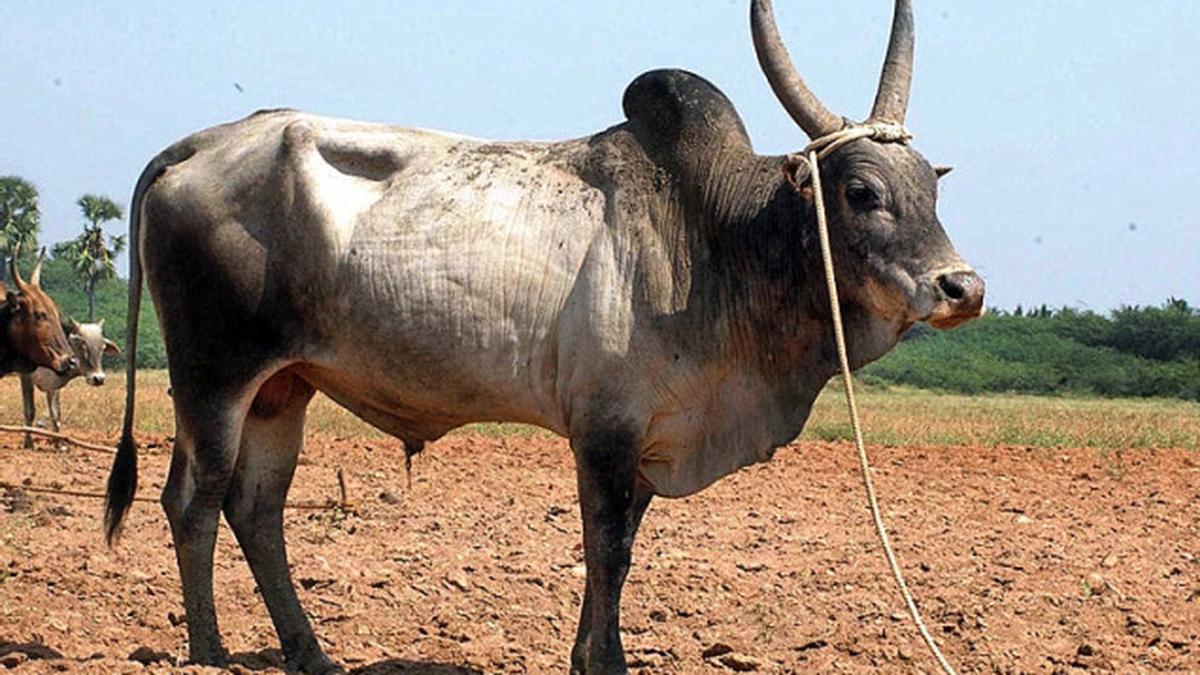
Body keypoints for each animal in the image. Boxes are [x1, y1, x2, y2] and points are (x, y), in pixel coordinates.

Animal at [20, 319, 121, 449]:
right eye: (83, 345)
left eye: (102, 348)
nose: (99, 379)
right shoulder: (26, 376)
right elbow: (29, 411)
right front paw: (29, 443)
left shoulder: (53, 386)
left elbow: (55, 414)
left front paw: (58, 445)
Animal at [105, 1, 984, 672]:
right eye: (862, 191)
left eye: (928, 186)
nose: (963, 288)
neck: (714, 234)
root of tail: (197, 146)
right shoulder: (605, 430)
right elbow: (607, 551)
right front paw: (609, 663)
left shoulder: (650, 439)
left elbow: (616, 554)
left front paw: (583, 658)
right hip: (214, 376)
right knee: (193, 500)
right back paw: (210, 654)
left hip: (281, 387)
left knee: (256, 508)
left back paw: (309, 653)